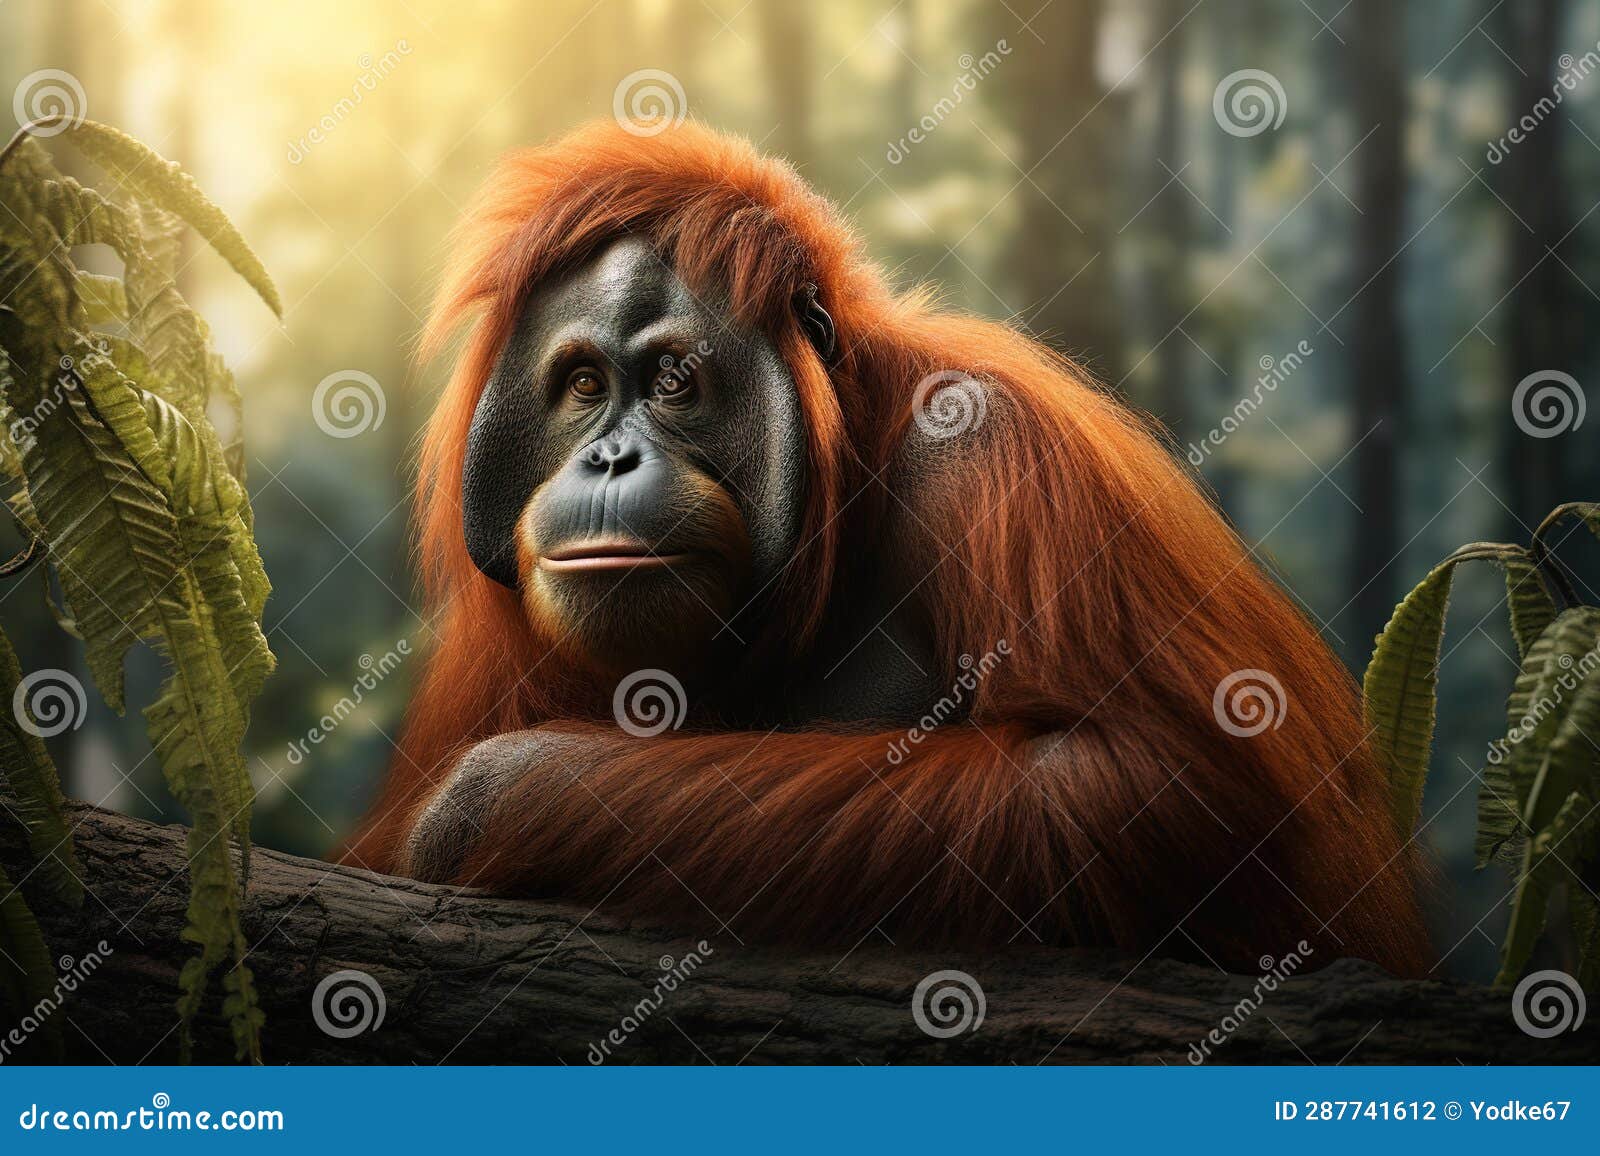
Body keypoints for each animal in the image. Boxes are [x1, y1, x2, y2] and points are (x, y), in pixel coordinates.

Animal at [345, 119, 1431, 976]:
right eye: (581, 386)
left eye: (672, 380)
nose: (609, 458)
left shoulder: (994, 449)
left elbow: (1147, 781)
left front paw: (500, 796)